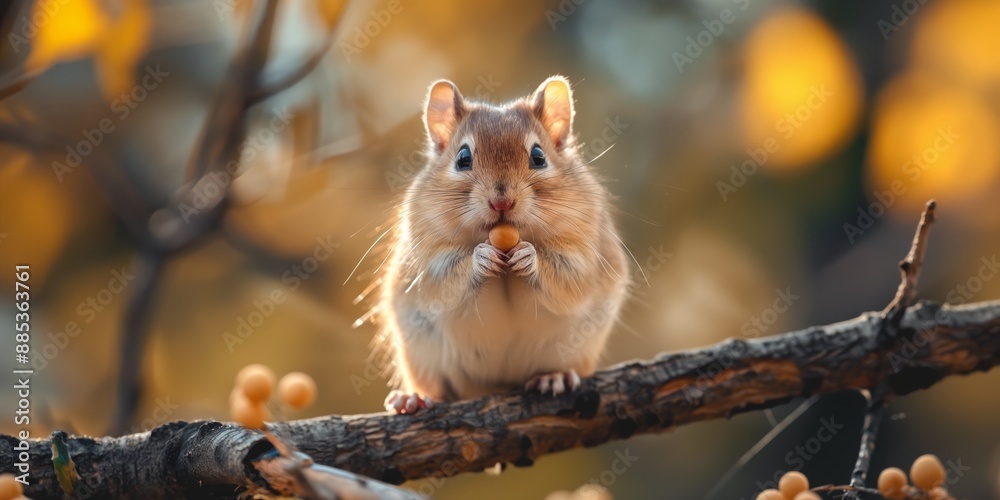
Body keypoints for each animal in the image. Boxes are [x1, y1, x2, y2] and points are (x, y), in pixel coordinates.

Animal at [375, 76, 631, 414]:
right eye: (463, 158)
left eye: (538, 156)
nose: (502, 202)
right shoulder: (427, 259)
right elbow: (443, 285)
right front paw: (480, 260)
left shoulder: (583, 251)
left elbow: (568, 282)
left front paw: (529, 258)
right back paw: (414, 399)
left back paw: (554, 376)